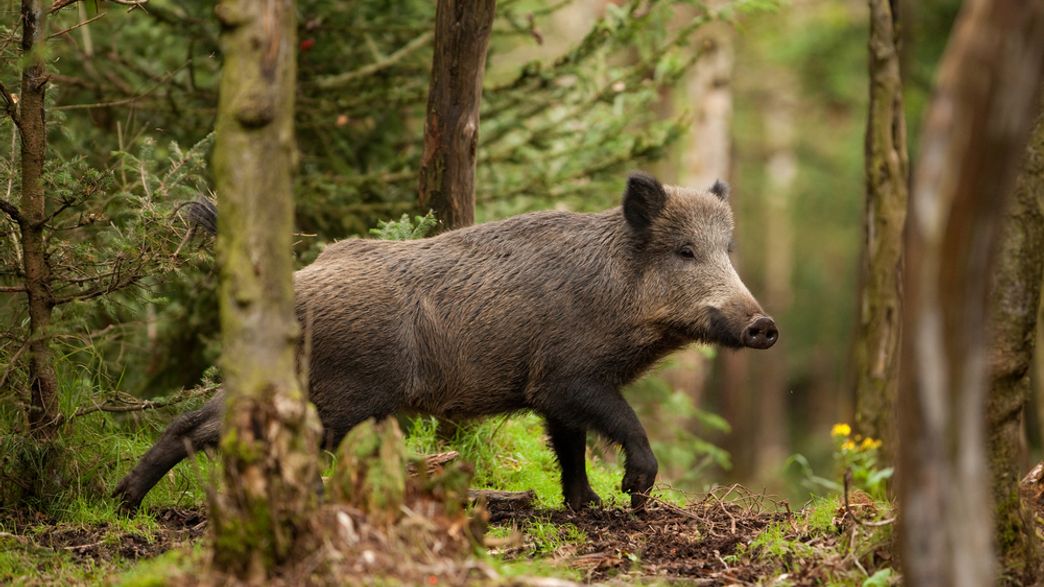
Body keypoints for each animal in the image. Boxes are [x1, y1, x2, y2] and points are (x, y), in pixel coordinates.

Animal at [113, 172, 777, 512]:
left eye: (727, 249)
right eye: (684, 251)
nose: (764, 326)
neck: (618, 293)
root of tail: (299, 282)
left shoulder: (550, 392)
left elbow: (569, 448)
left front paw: (586, 506)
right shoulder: (570, 375)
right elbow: (619, 423)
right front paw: (634, 491)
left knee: (193, 423)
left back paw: (122, 502)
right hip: (343, 394)